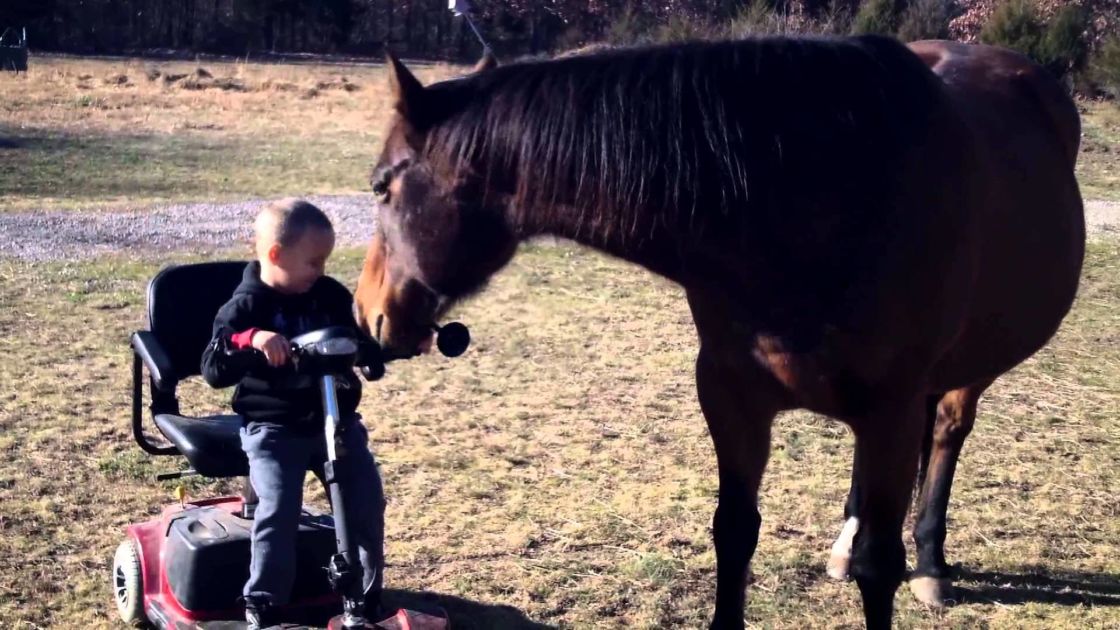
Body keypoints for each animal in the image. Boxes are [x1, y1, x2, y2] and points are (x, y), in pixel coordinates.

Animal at [353, 36, 1085, 629]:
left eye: (383, 187)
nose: (367, 312)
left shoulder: (890, 407)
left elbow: (881, 566)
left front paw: (895, 561)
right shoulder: (733, 395)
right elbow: (735, 533)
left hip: (961, 376)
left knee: (947, 432)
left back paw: (930, 562)